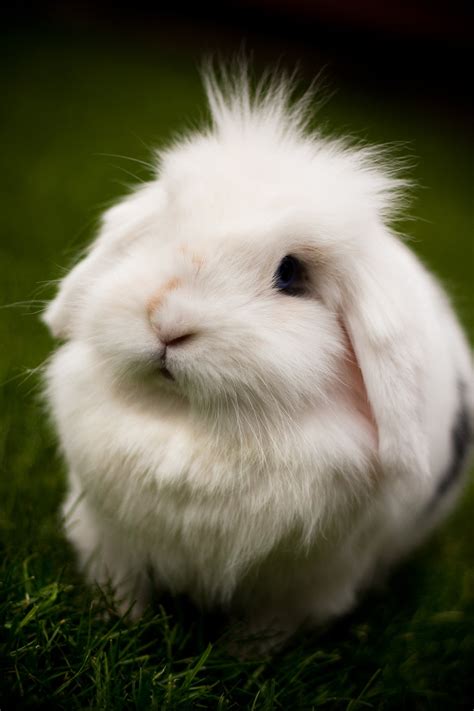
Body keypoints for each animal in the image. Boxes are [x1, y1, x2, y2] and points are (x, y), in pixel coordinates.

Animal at [42, 69, 473, 646]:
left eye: (290, 274)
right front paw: (118, 627)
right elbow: (123, 592)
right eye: (162, 233)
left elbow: (264, 631)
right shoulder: (109, 539)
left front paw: (243, 656)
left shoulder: (302, 585)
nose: (168, 323)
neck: (189, 424)